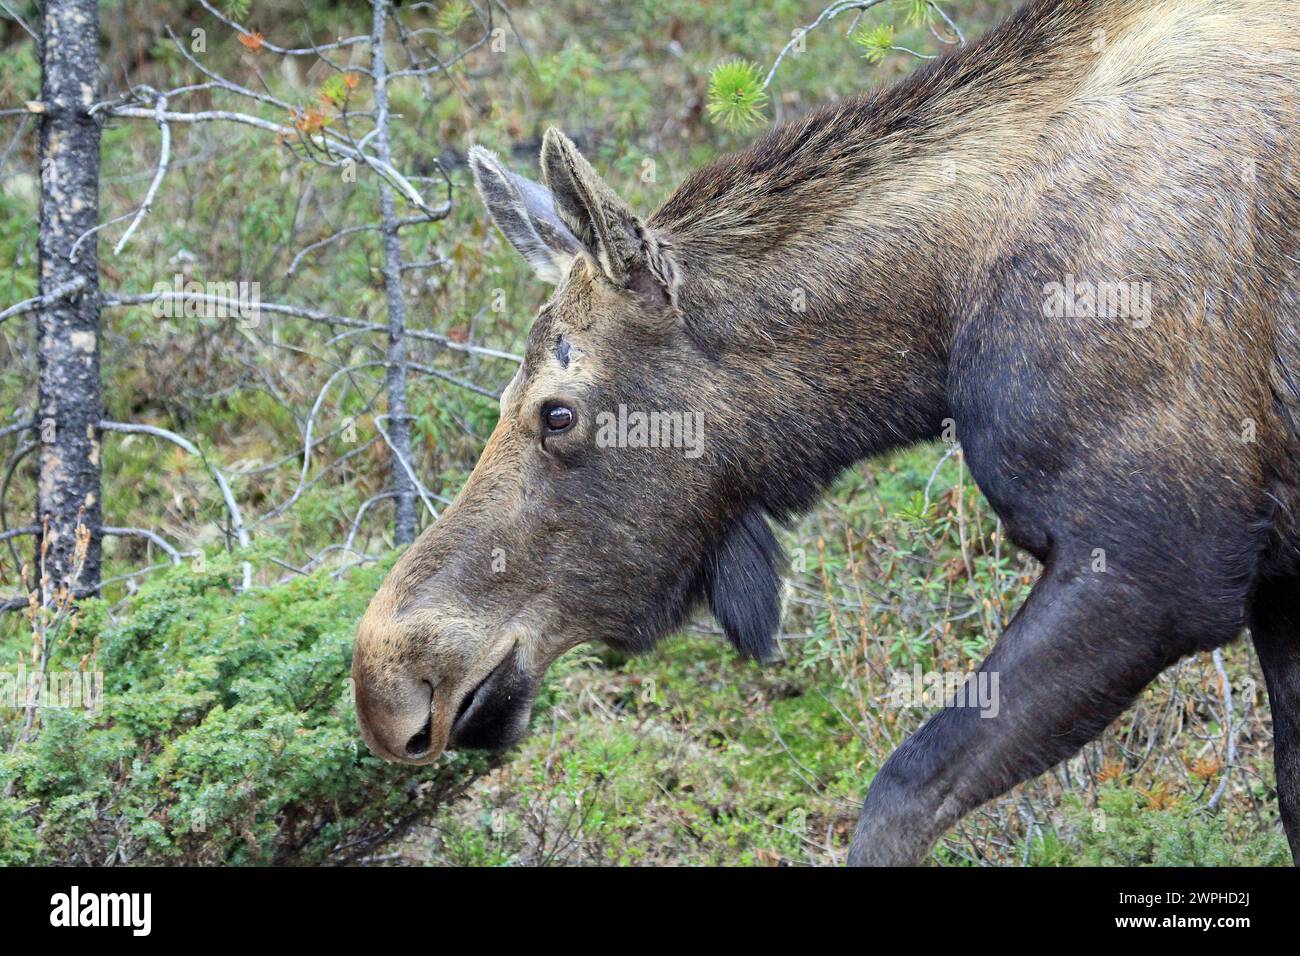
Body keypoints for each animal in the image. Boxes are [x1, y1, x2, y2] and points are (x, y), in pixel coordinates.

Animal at [352, 0, 1300, 864]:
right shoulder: (1273, 581)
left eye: (556, 411)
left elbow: (898, 795)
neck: (939, 321)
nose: (387, 680)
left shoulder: (1158, 560)